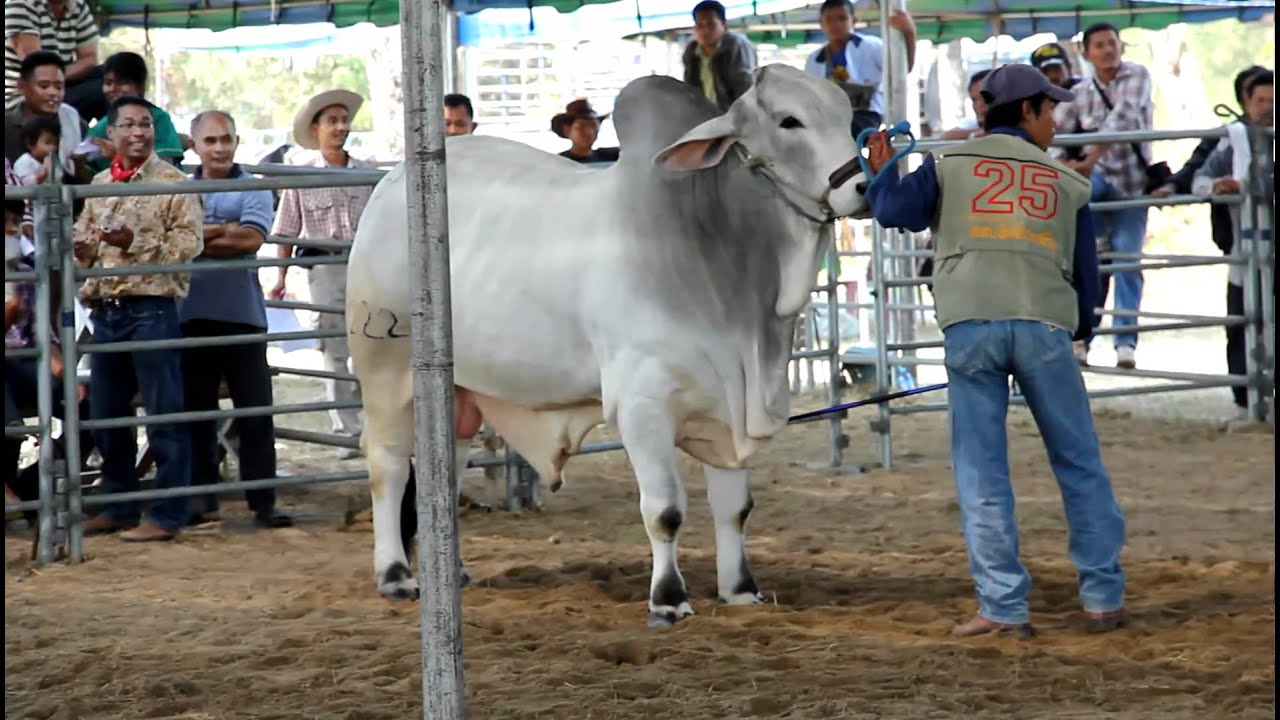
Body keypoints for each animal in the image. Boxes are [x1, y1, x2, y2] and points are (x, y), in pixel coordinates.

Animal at [345, 63, 872, 627]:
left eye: (846, 113)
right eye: (789, 120)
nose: (864, 186)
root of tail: (389, 185)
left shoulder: (729, 408)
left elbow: (734, 508)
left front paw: (740, 589)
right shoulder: (643, 405)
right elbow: (664, 510)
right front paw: (667, 598)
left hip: (458, 392)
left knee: (443, 472)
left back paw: (452, 570)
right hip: (385, 370)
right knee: (388, 463)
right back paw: (396, 575)